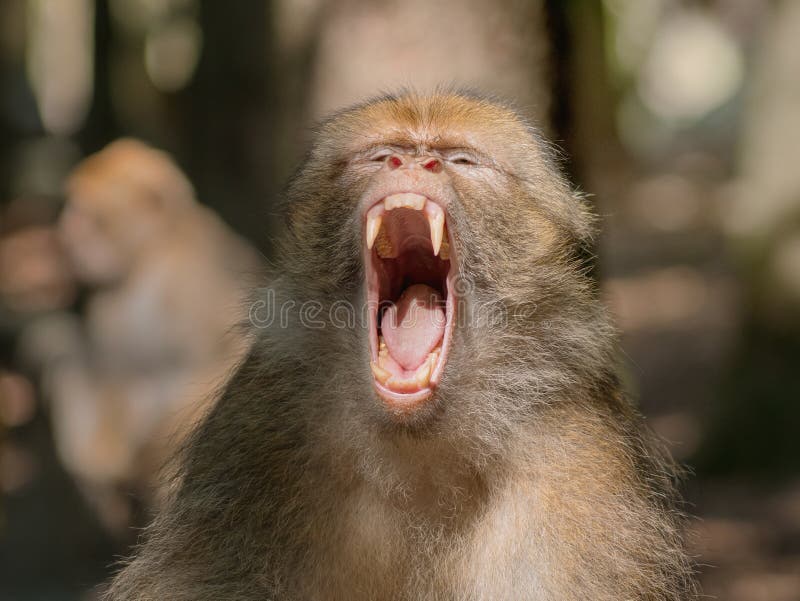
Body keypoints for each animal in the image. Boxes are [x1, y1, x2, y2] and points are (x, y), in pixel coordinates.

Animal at [35, 139, 261, 532]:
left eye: (88, 214)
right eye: (72, 207)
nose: (67, 231)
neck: (153, 251)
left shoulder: (201, 272)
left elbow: (221, 356)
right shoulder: (107, 295)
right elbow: (110, 364)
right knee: (64, 351)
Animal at [104, 92, 698, 600]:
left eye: (460, 160)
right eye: (380, 156)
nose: (415, 163)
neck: (418, 449)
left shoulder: (581, 453)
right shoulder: (254, 434)